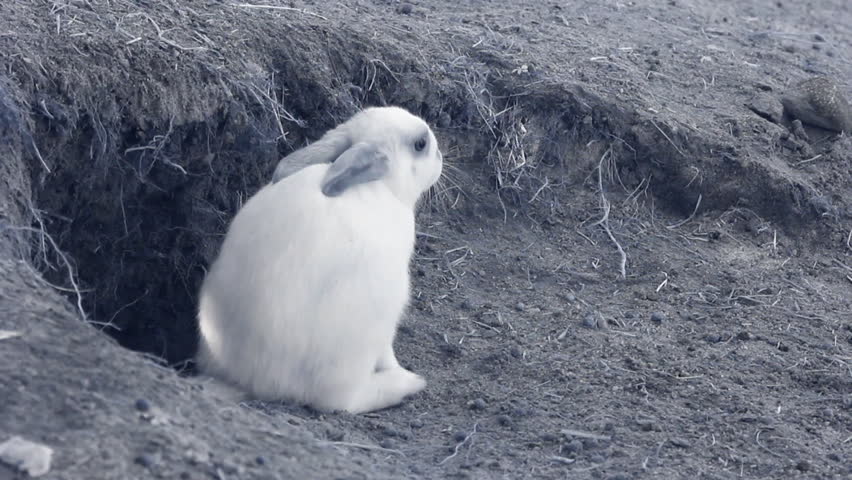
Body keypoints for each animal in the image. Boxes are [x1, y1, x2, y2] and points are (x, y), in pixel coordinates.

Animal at [196, 106, 443, 414]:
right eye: (420, 144)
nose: (440, 156)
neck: (380, 186)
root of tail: (254, 383)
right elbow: (387, 354)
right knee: (345, 401)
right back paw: (407, 382)